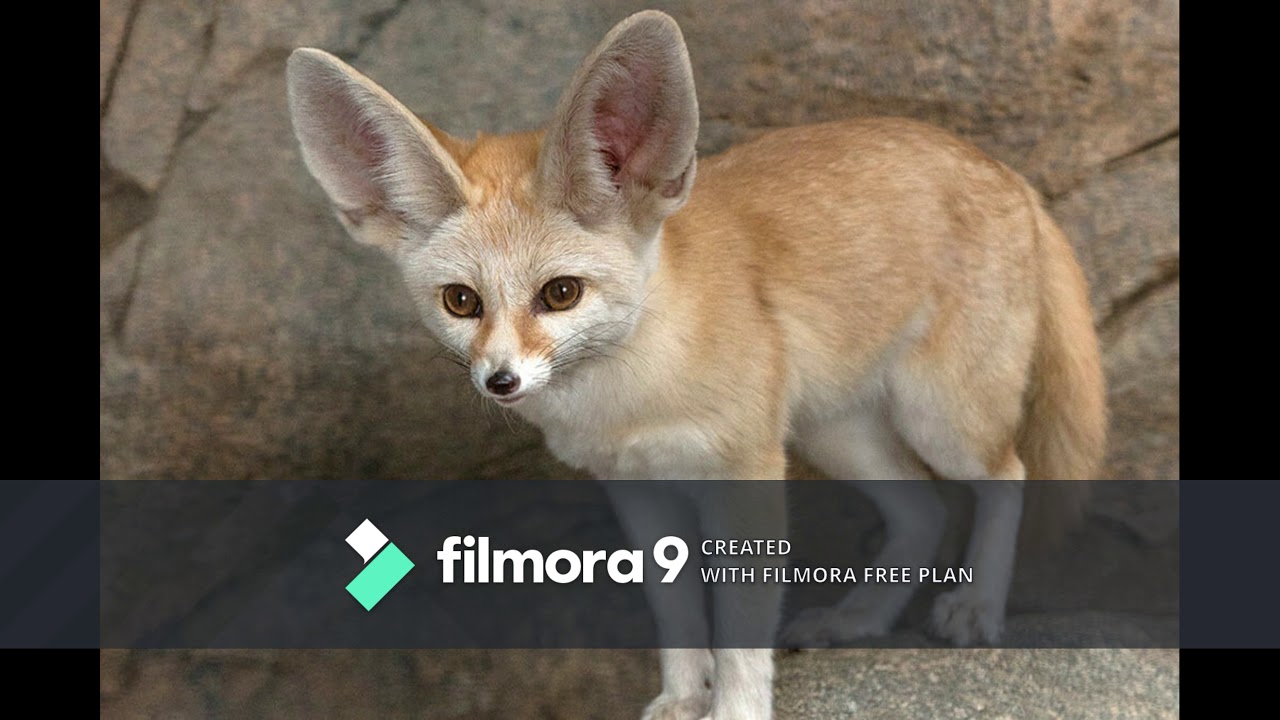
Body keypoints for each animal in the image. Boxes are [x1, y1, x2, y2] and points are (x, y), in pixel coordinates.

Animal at [286, 9, 1106, 720]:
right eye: (462, 302)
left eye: (559, 293)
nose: (501, 382)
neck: (632, 400)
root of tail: (1004, 170)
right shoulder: (639, 493)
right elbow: (678, 619)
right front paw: (683, 699)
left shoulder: (745, 477)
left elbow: (738, 632)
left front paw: (736, 710)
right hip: (839, 435)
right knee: (924, 510)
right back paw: (861, 618)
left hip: (939, 417)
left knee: (1007, 477)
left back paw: (977, 607)